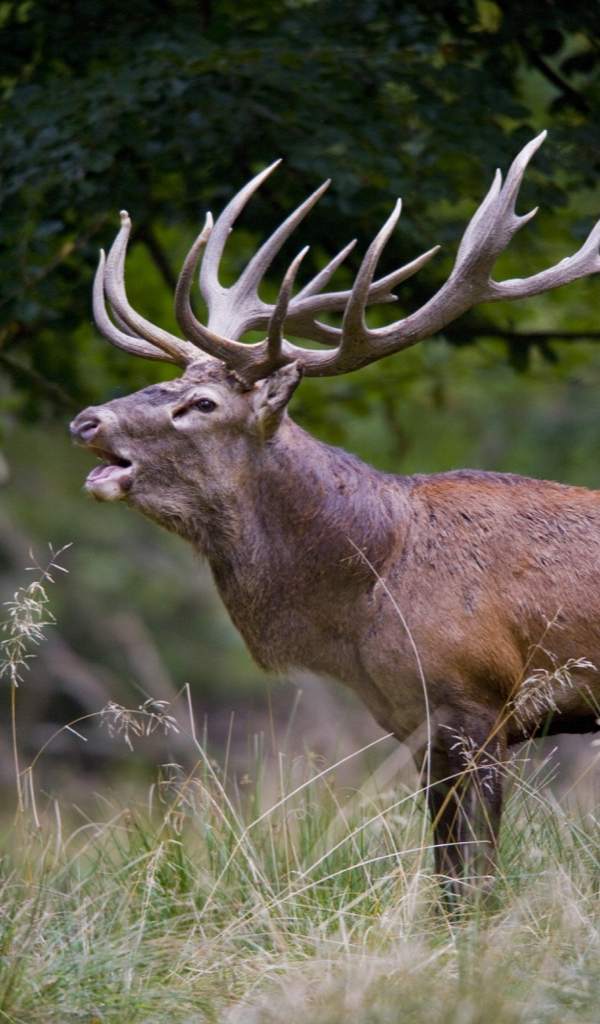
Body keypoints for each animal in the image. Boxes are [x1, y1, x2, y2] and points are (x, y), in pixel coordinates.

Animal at [70, 132, 600, 895]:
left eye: (201, 403)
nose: (86, 419)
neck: (370, 583)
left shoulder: (481, 702)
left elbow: (476, 878)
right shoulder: (415, 724)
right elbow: (445, 873)